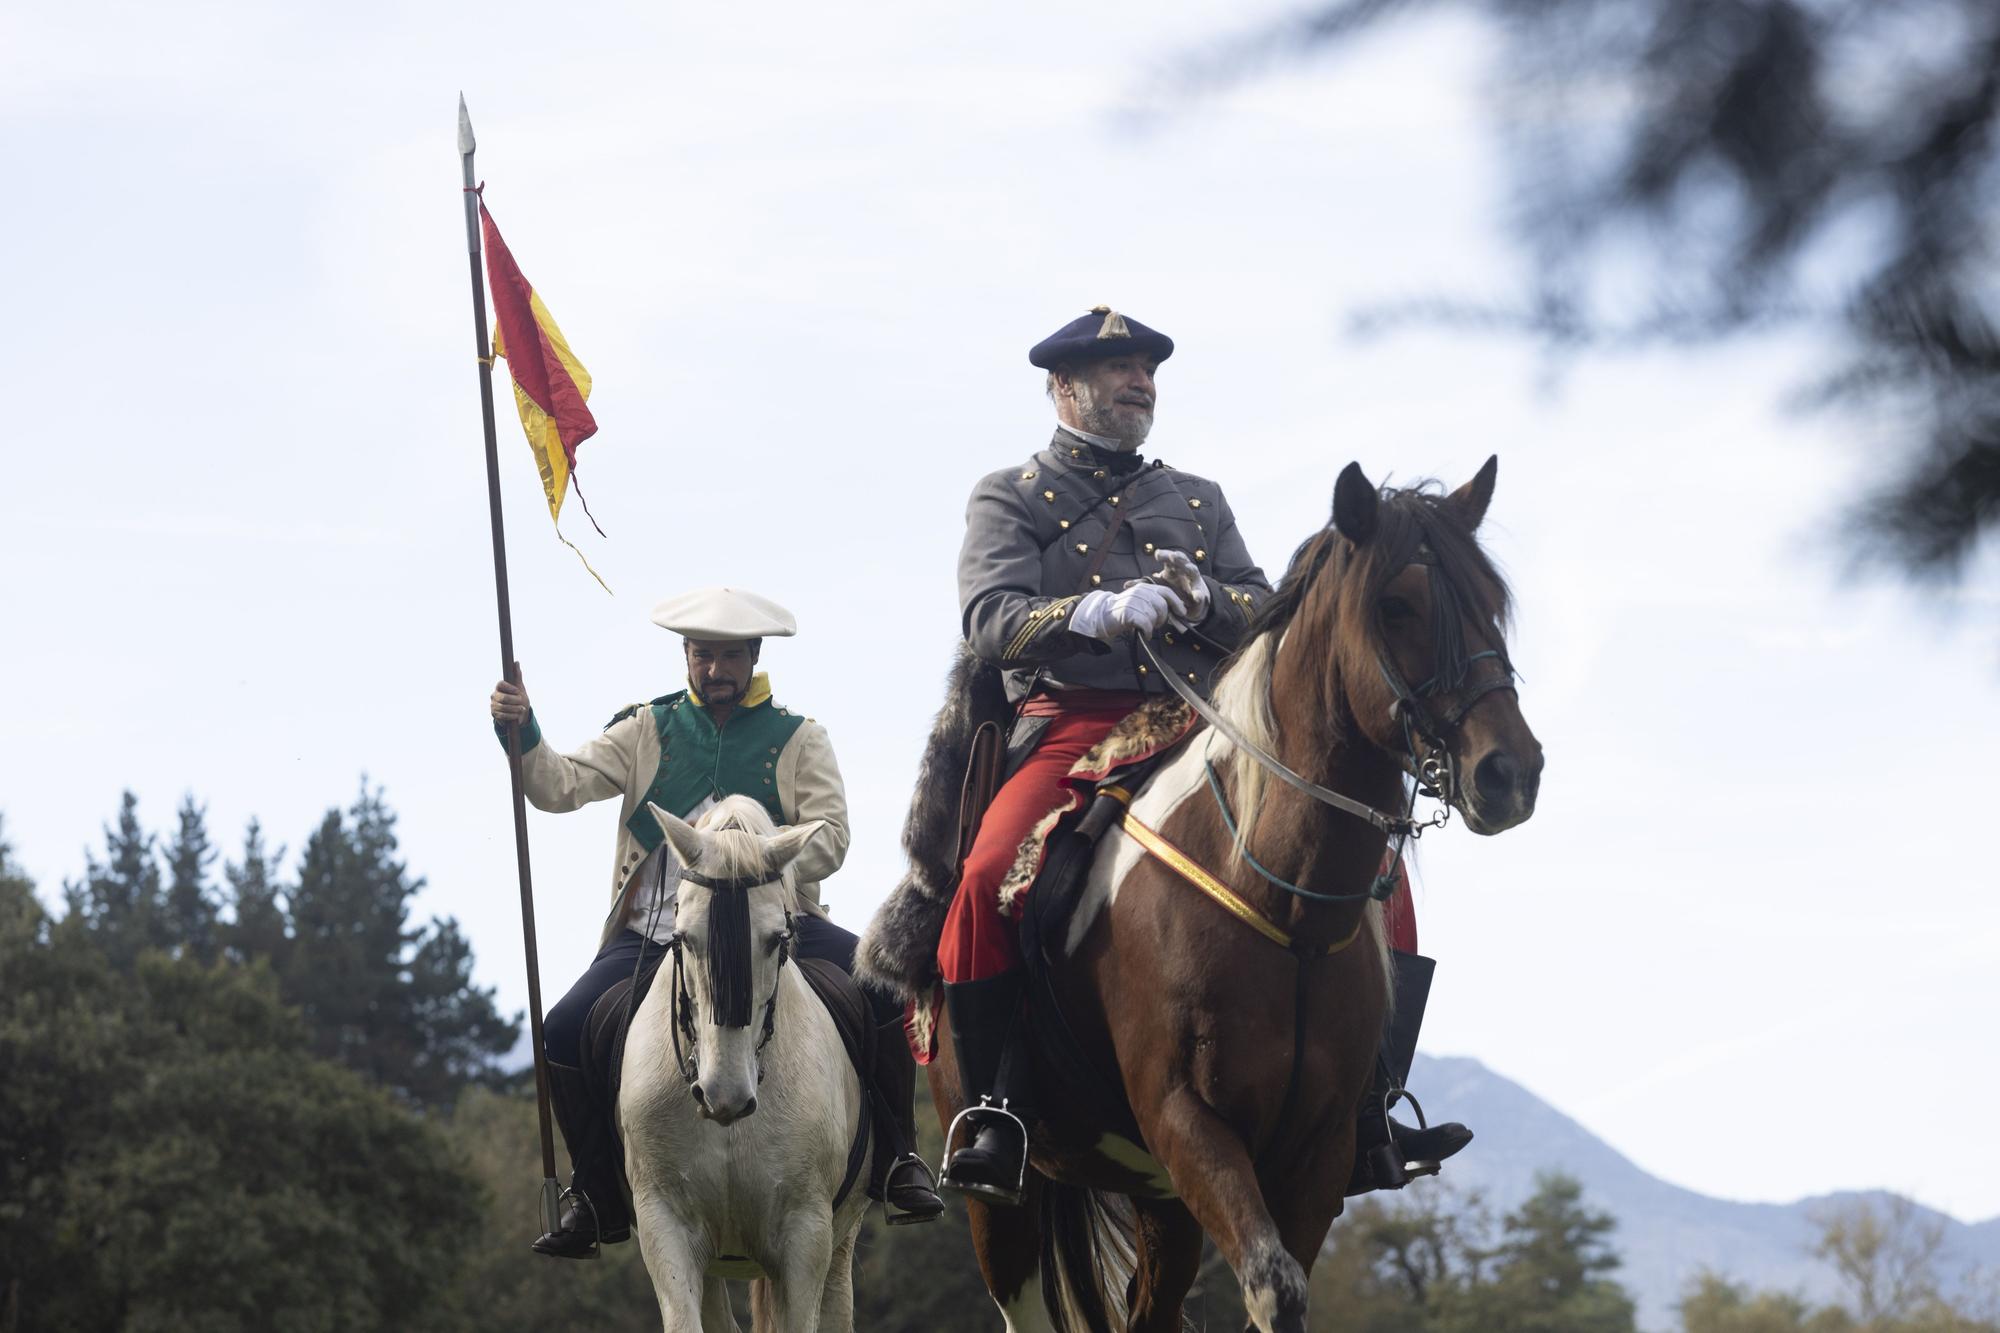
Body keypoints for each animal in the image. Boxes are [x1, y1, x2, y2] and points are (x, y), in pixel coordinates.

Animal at [624, 792, 876, 1320]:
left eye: (777, 940)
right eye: (681, 938)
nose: (724, 1096)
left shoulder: (806, 1236)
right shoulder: (665, 1227)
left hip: (839, 1244)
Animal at [928, 460, 1536, 1328]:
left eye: (1491, 600)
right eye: (1395, 605)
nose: (1509, 772)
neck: (1287, 907)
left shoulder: (1320, 1151)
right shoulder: (1189, 1123)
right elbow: (1273, 1284)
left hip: (1160, 1200)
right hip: (1007, 1203)